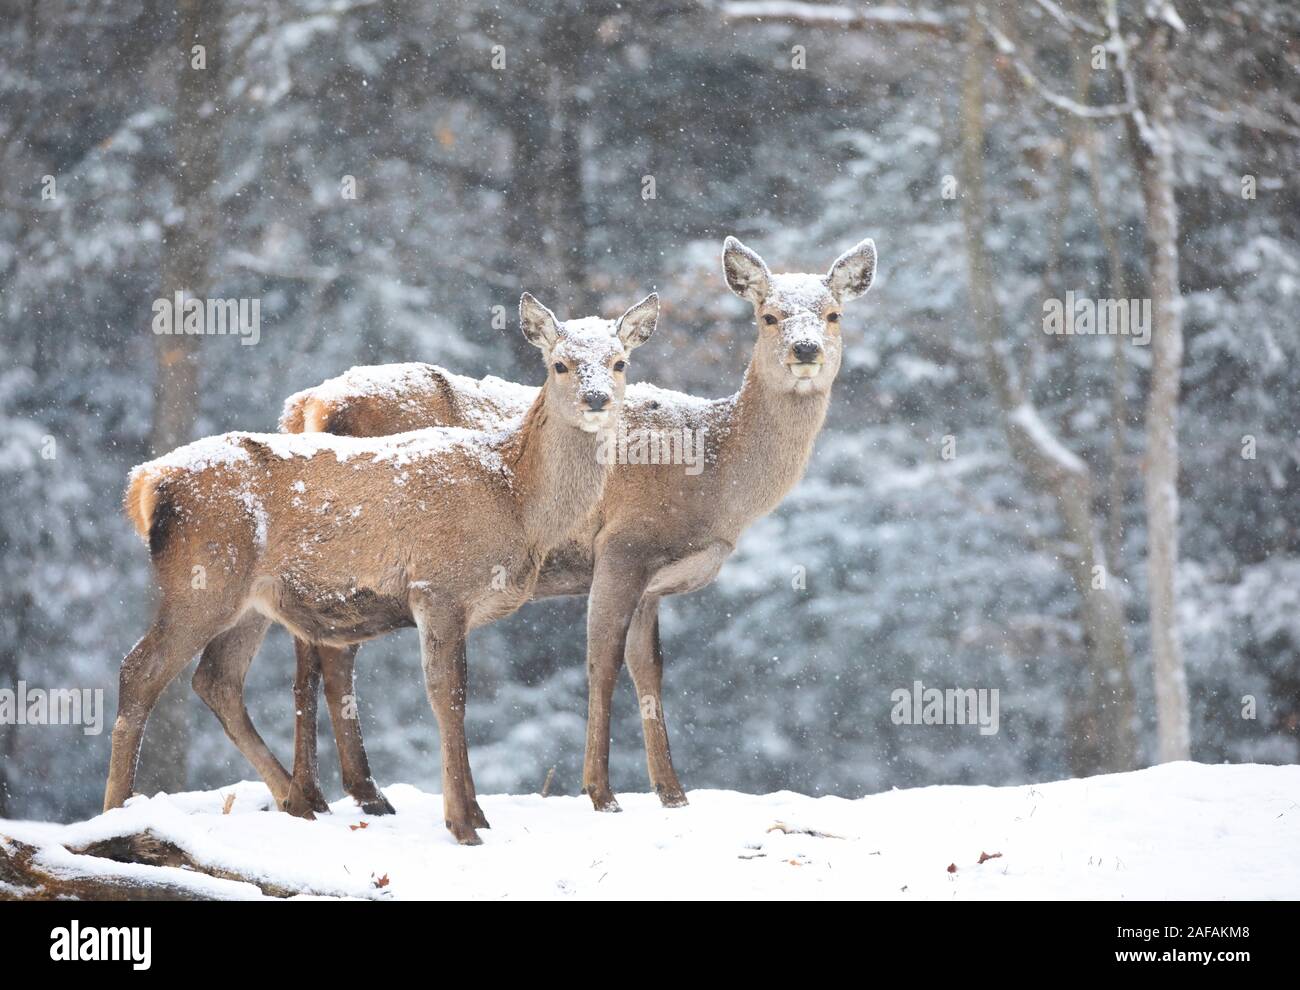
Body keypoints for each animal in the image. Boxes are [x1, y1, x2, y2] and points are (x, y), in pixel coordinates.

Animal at [104, 292, 659, 844]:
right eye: (560, 364)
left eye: (619, 362)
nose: (596, 399)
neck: (516, 500)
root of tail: (145, 483)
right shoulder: (439, 587)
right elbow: (448, 696)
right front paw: (464, 824)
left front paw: (476, 814)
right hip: (203, 578)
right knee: (139, 670)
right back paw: (116, 813)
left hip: (249, 602)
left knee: (216, 680)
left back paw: (298, 801)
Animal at [265, 236, 877, 817]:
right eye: (768, 315)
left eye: (832, 314)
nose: (805, 350)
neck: (714, 474)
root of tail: (306, 405)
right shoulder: (625, 543)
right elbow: (602, 662)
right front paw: (601, 792)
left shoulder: (654, 581)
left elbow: (649, 669)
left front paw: (673, 793)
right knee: (333, 658)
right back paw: (359, 794)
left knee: (311, 654)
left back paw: (321, 793)